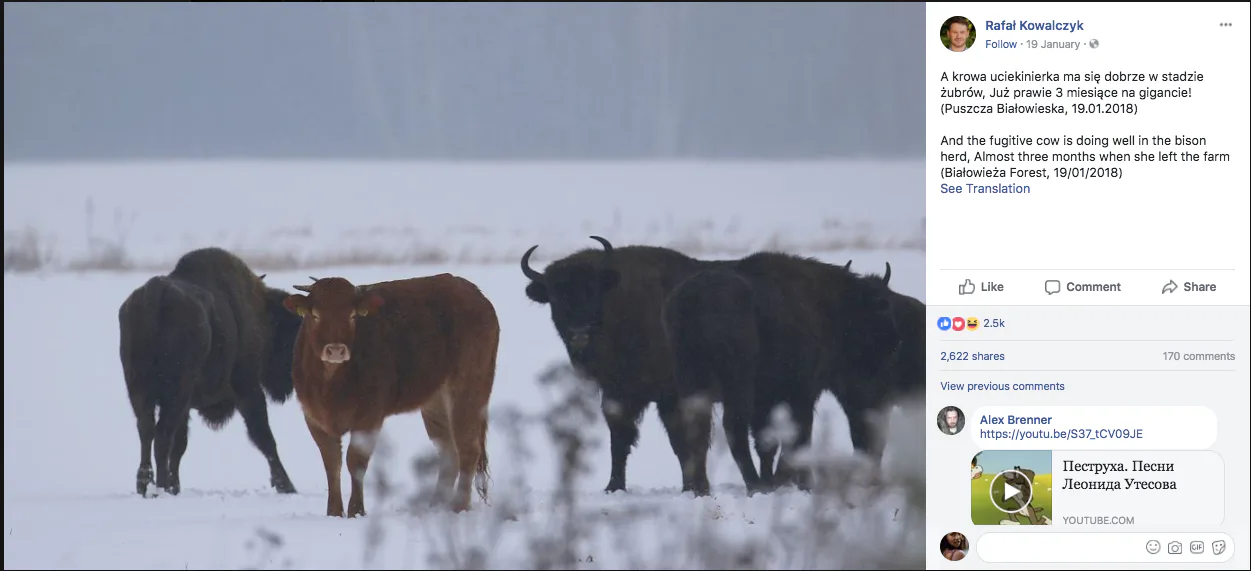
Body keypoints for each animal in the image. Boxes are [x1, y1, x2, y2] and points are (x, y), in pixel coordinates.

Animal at [117, 247, 302, 497]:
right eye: (290, 335)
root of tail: (156, 293)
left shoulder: (187, 406)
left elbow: (180, 446)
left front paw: (176, 486)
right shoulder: (247, 388)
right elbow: (263, 436)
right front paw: (286, 486)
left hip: (140, 389)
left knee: (147, 431)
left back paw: (146, 485)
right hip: (176, 392)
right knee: (162, 434)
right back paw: (160, 487)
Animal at [282, 273, 500, 517]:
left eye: (352, 315)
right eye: (316, 315)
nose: (336, 350)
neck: (330, 383)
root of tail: (474, 293)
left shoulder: (369, 416)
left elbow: (355, 460)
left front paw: (356, 510)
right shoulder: (313, 417)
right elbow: (332, 463)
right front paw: (334, 513)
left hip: (469, 388)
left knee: (468, 449)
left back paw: (458, 506)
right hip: (435, 402)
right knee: (448, 453)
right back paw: (435, 505)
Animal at [521, 236, 734, 495]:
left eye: (593, 291)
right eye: (556, 297)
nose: (580, 334)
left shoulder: (671, 397)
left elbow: (683, 443)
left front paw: (693, 488)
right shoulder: (617, 394)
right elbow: (620, 440)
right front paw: (613, 487)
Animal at [661, 253, 902, 495]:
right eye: (880, 313)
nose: (893, 341)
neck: (829, 306)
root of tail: (694, 298)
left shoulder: (768, 401)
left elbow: (768, 443)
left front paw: (774, 479)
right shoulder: (802, 392)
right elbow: (799, 436)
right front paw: (793, 482)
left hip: (693, 382)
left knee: (698, 431)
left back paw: (703, 489)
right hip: (737, 385)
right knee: (733, 427)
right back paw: (754, 485)